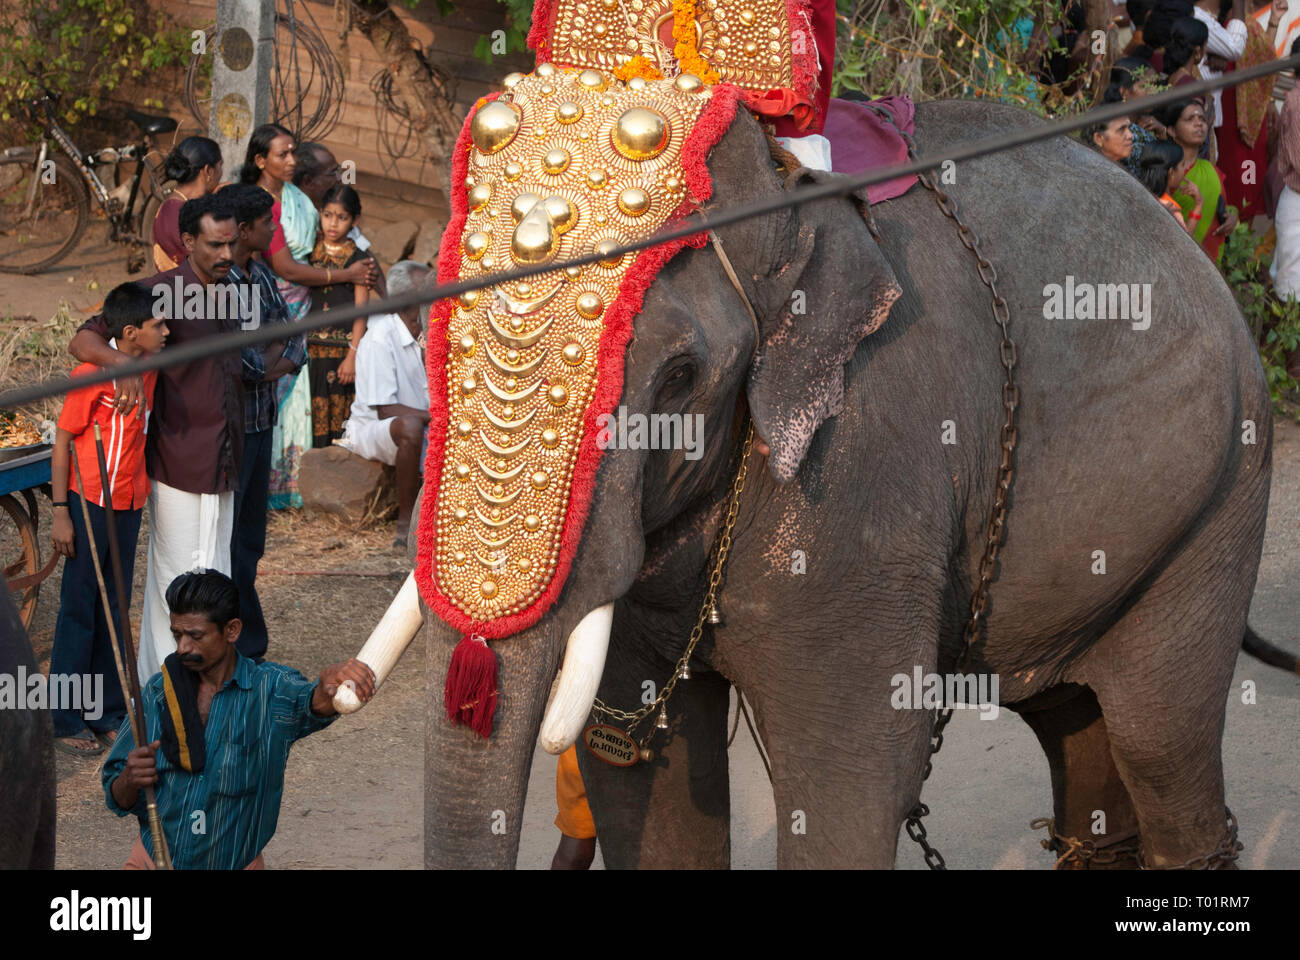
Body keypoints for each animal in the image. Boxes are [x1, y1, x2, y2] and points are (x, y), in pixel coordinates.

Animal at [419, 94, 1288, 869]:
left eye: (678, 377)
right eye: (430, 346)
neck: (783, 194)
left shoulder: (863, 493)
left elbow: (855, 774)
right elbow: (638, 775)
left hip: (1220, 499)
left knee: (1159, 742)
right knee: (1079, 734)